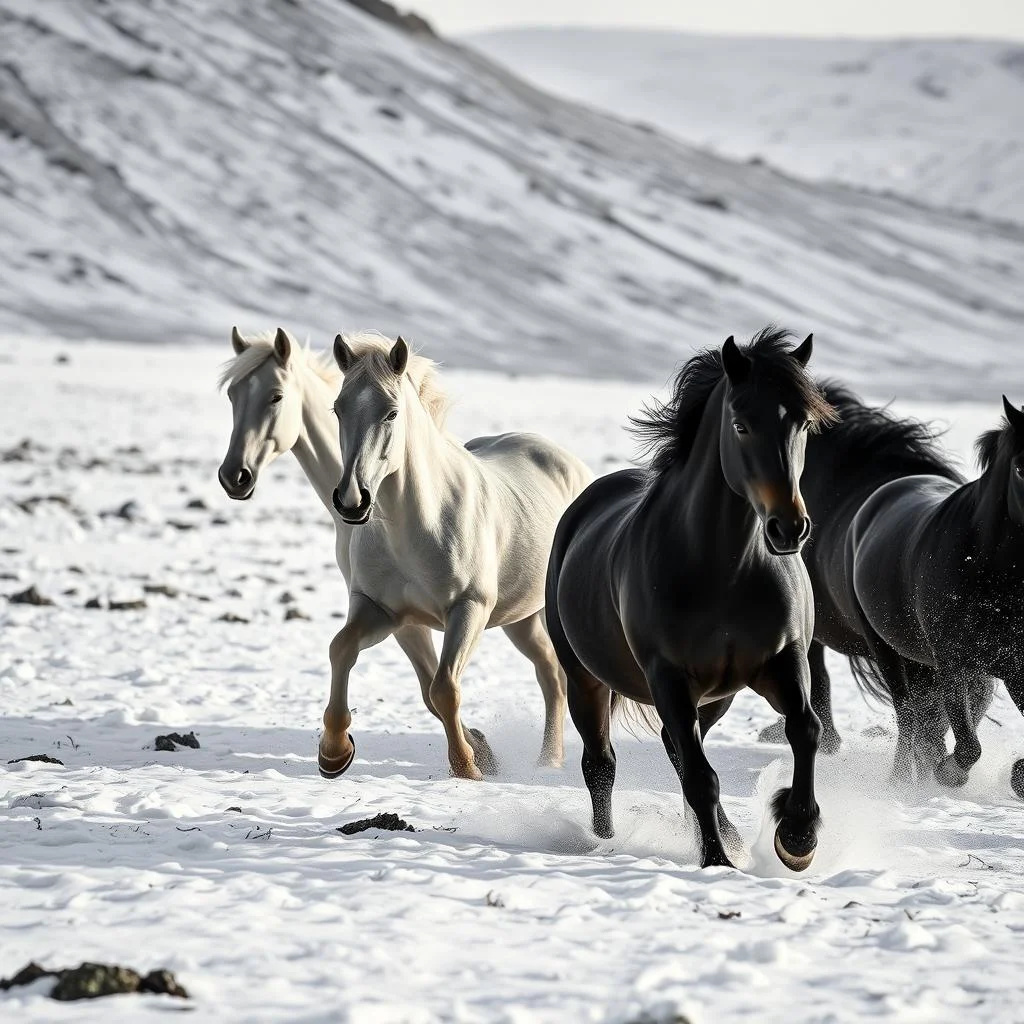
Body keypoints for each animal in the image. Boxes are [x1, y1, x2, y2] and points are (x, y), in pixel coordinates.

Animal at [321, 331, 593, 781]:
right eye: (337, 408)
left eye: (392, 412)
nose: (351, 500)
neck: (416, 525)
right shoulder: (382, 611)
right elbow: (341, 649)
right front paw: (334, 751)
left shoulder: (469, 609)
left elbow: (445, 688)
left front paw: (468, 766)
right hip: (520, 619)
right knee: (550, 673)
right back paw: (548, 759)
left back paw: (550, 761)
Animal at [545, 326, 836, 870]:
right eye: (741, 424)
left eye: (804, 424)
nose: (789, 528)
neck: (724, 570)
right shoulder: (668, 676)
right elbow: (701, 776)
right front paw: (717, 860)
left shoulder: (784, 661)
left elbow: (805, 730)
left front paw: (797, 837)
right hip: (586, 680)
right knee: (602, 764)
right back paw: (605, 840)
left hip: (716, 697)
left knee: (677, 747)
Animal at [847, 396, 1024, 794]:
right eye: (1021, 468)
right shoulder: (952, 661)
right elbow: (968, 744)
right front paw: (948, 773)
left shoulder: (1015, 667)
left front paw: (1019, 776)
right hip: (887, 651)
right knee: (908, 715)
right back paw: (902, 780)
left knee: (926, 718)